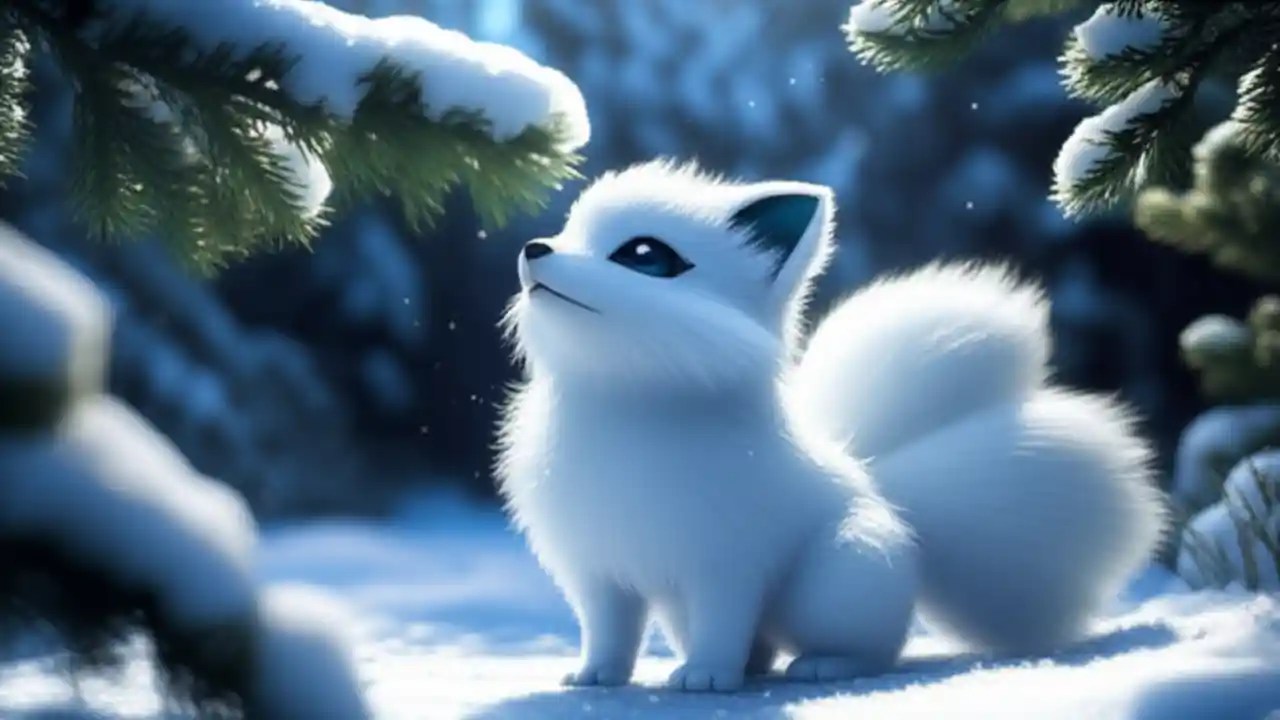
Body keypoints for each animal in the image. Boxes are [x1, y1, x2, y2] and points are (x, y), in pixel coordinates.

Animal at [495, 159, 1167, 692]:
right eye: (570, 229)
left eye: (645, 256)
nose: (534, 249)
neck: (624, 401)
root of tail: (894, 507)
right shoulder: (597, 570)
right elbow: (608, 630)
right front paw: (594, 677)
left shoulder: (725, 564)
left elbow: (721, 624)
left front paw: (706, 678)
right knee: (764, 645)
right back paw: (755, 668)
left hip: (840, 573)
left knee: (875, 648)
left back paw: (820, 667)